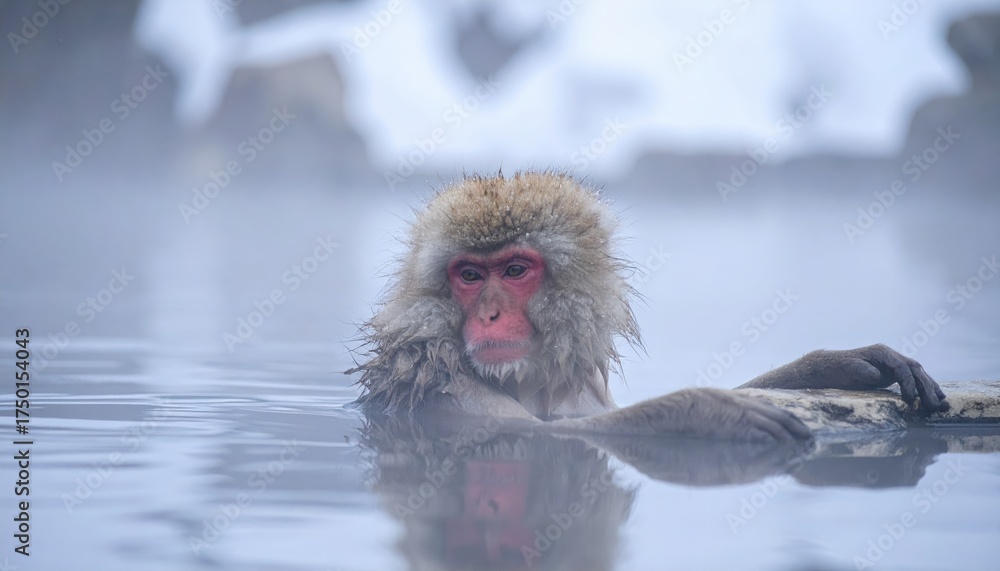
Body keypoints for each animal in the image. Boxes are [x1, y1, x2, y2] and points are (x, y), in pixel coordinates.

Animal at [349, 171, 950, 443]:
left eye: (514, 271)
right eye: (470, 276)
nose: (489, 314)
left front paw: (835, 363)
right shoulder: (444, 383)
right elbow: (546, 436)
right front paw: (705, 409)